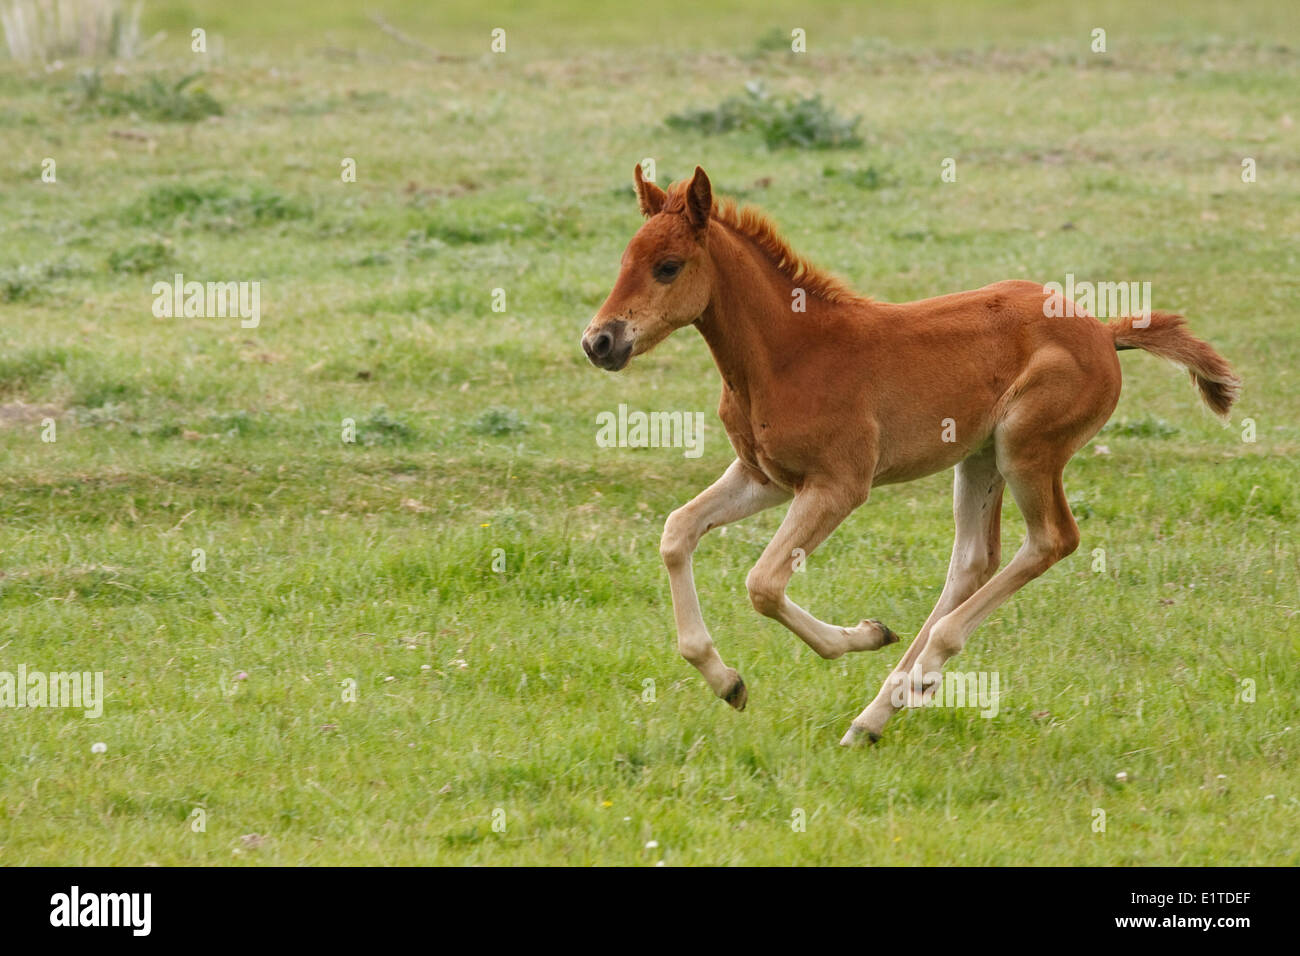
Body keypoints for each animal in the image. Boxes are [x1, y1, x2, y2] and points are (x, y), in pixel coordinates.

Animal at [580, 164, 1241, 745]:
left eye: (668, 267)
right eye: (623, 262)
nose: (599, 342)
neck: (789, 352)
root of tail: (1104, 332)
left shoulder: (839, 485)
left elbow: (763, 583)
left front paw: (862, 635)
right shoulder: (764, 476)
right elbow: (677, 531)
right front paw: (728, 682)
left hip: (1027, 449)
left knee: (1051, 540)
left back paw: (918, 674)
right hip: (979, 458)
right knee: (973, 559)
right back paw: (876, 714)